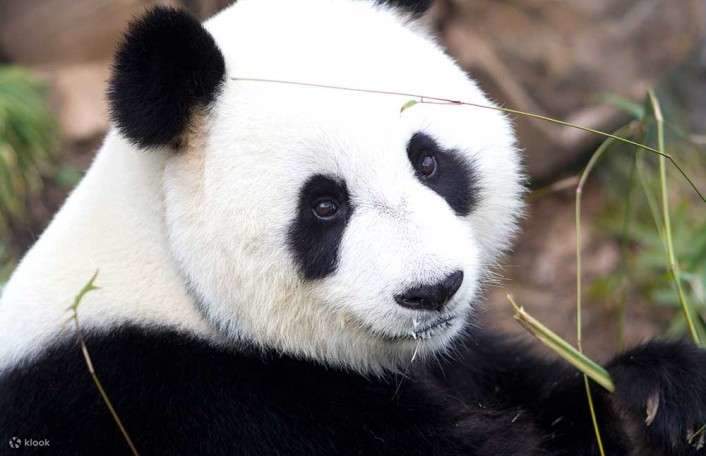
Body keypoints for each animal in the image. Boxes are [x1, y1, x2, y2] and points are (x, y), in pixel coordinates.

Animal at [1, 0, 705, 454]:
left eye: (428, 161)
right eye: (324, 206)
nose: (433, 291)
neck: (166, 273)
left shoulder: (460, 357)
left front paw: (656, 394)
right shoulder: (187, 397)